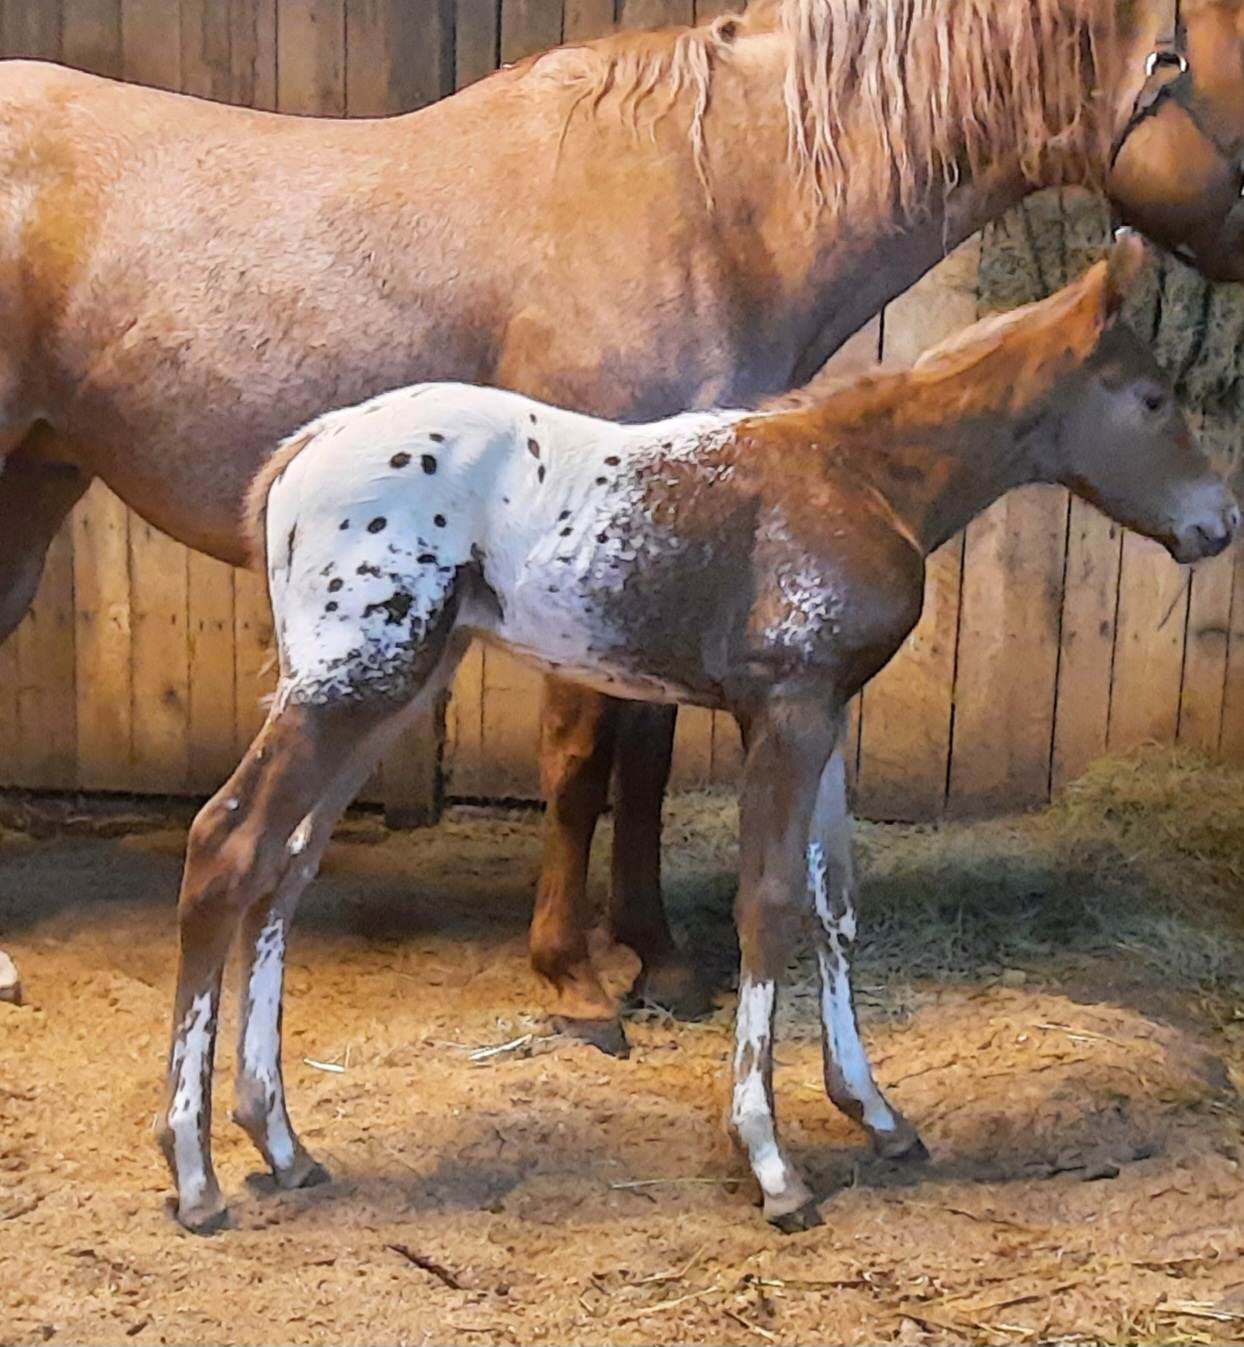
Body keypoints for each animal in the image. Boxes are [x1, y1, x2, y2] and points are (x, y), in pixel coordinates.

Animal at [3, 0, 1244, 1046]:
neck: (711, 204)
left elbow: (641, 760)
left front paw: (658, 958)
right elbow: (575, 758)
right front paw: (572, 976)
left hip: (41, 474)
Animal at [155, 232, 1238, 1234]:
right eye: (1151, 398)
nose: (1218, 523)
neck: (858, 474)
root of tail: (308, 449)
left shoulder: (826, 710)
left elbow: (834, 904)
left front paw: (876, 1114)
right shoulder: (787, 708)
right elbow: (770, 905)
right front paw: (771, 1162)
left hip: (385, 694)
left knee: (285, 870)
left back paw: (280, 1143)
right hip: (346, 685)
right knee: (226, 845)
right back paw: (197, 1175)